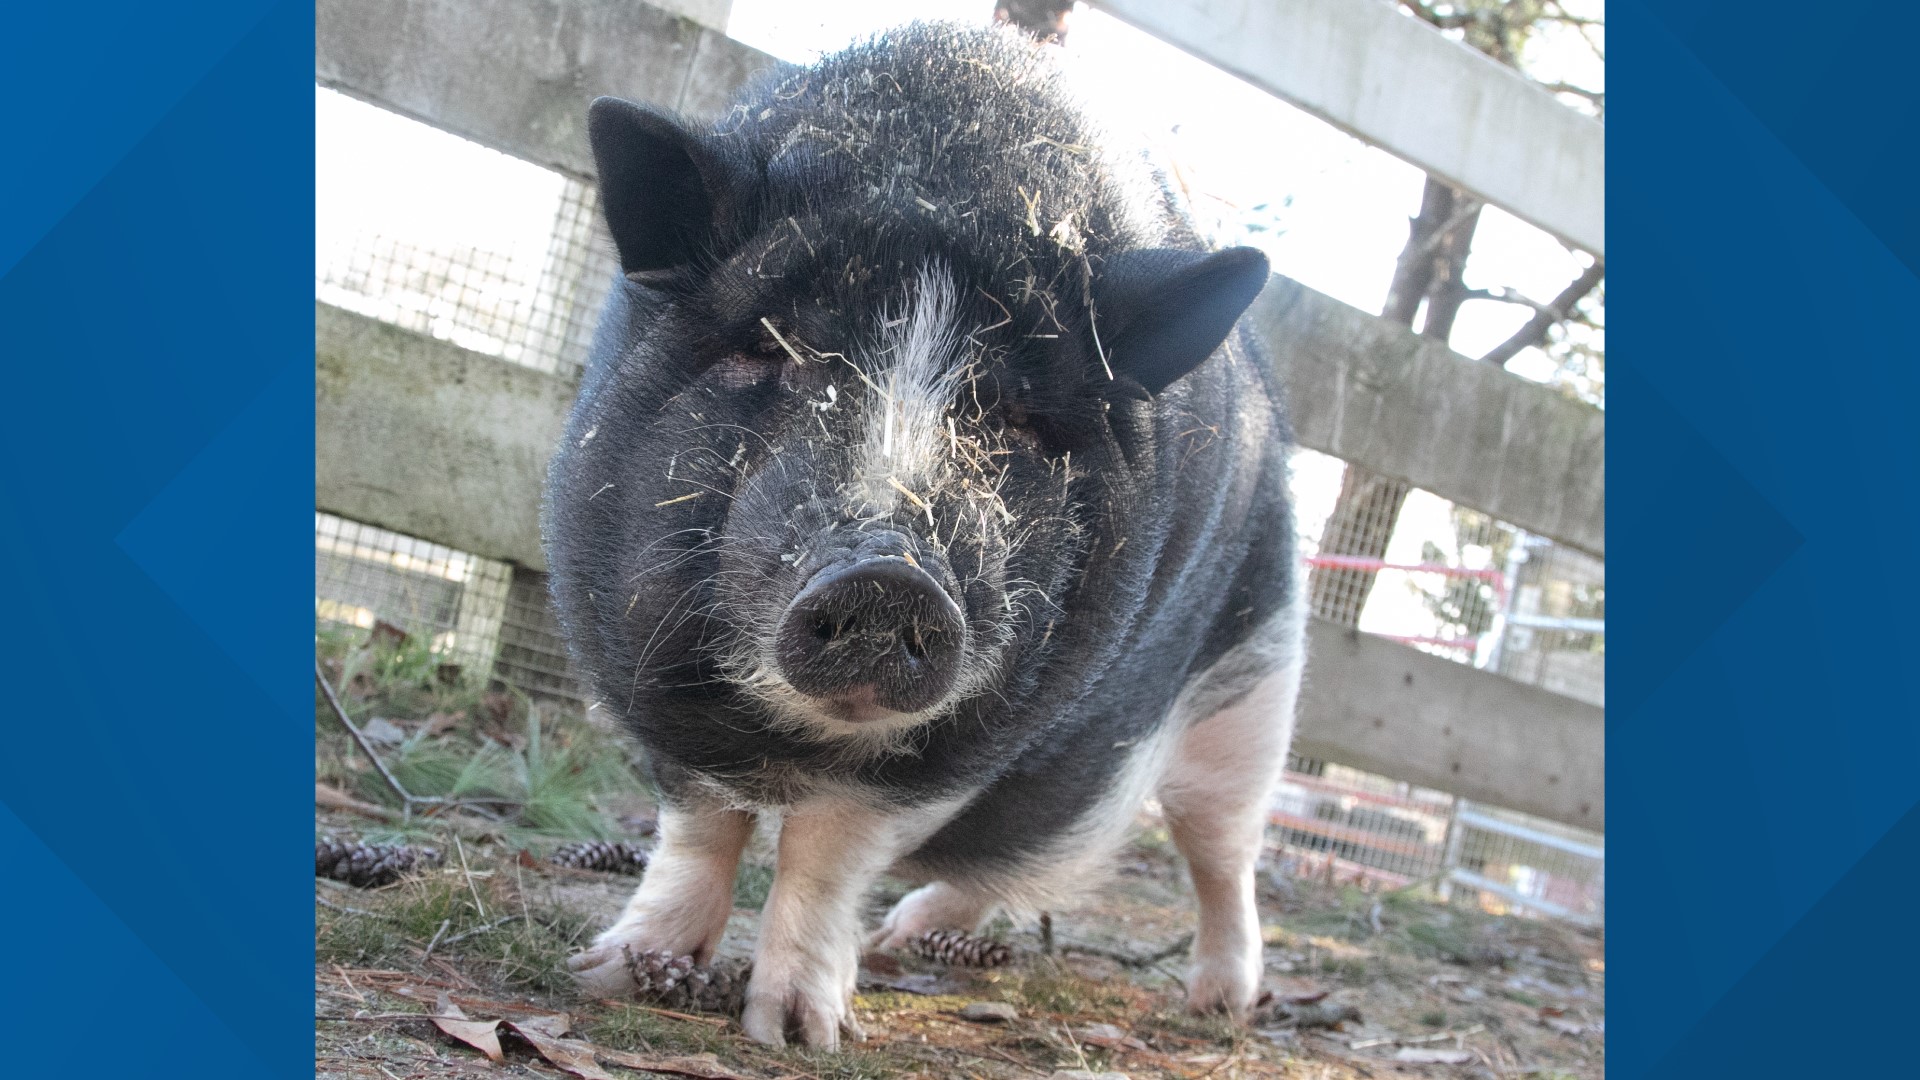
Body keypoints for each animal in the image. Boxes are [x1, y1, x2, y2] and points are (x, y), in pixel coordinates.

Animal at [543, 22, 1303, 1049]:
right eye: (767, 348)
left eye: (1018, 414)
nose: (887, 576)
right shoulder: (640, 656)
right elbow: (700, 825)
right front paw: (610, 975)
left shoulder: (983, 731)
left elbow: (828, 848)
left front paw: (798, 1034)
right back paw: (906, 937)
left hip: (1257, 682)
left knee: (1223, 850)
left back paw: (1223, 1007)